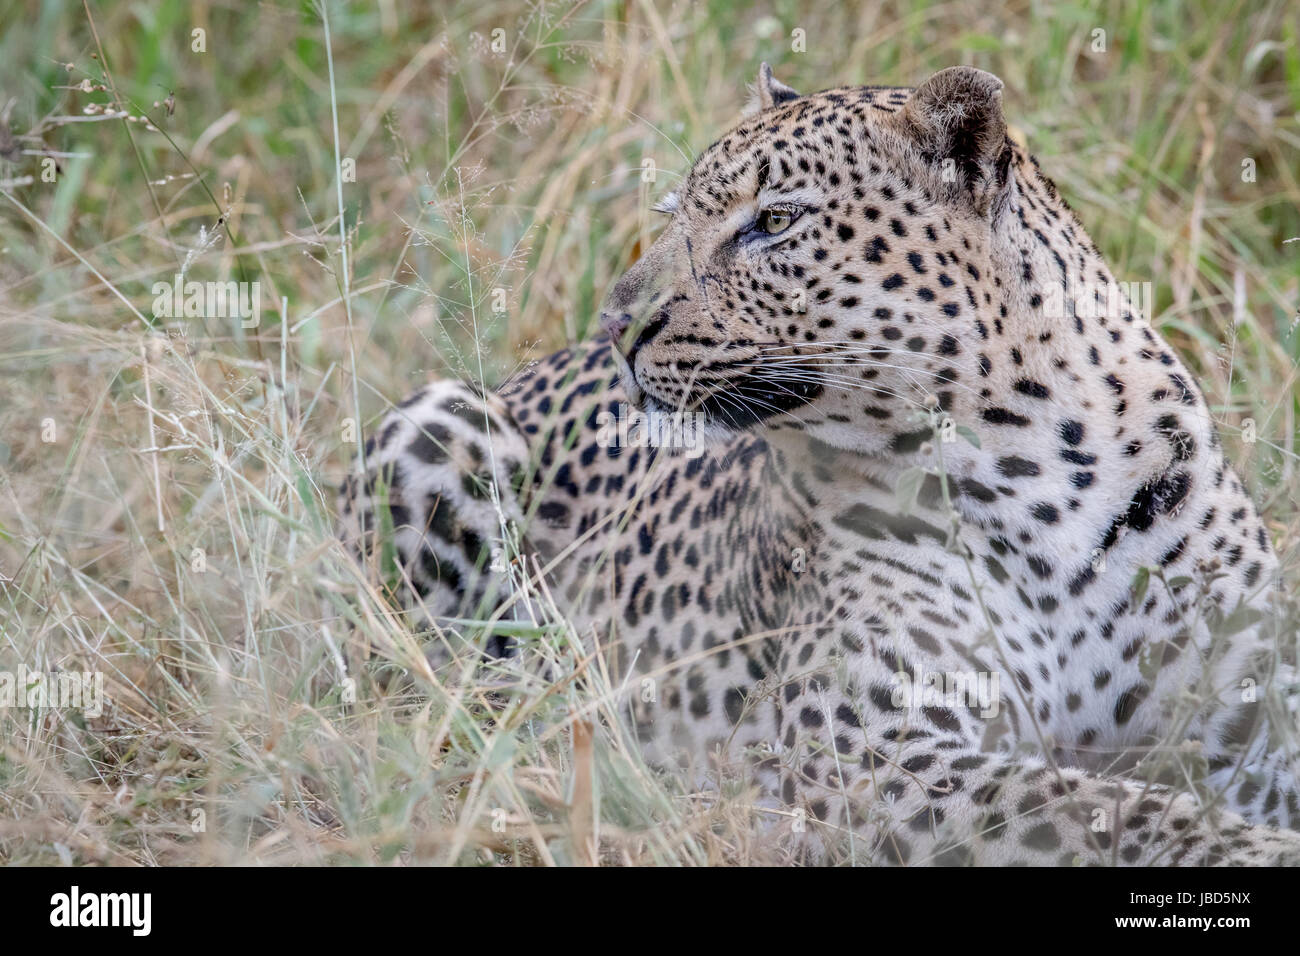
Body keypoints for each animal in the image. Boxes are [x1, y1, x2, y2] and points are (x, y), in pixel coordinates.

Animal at [338, 64, 1300, 865]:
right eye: (677, 217)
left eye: (774, 221)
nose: (618, 324)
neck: (1038, 470)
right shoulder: (867, 747)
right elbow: (1101, 810)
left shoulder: (1252, 714)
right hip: (440, 425)